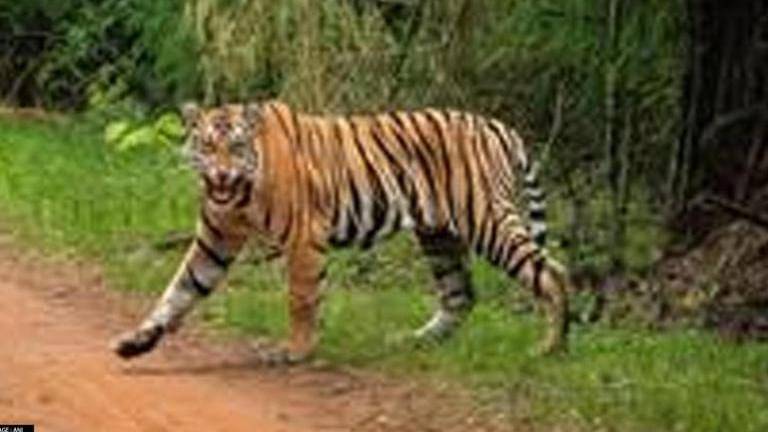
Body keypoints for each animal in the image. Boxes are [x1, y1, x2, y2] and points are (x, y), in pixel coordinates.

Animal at [111, 100, 571, 363]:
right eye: (207, 146)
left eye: (237, 148)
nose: (221, 174)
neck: (239, 195)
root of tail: (499, 126)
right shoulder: (215, 239)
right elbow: (179, 289)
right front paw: (137, 341)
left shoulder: (304, 237)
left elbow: (300, 298)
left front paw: (295, 351)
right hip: (439, 234)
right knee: (460, 295)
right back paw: (415, 341)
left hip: (486, 219)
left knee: (552, 272)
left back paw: (551, 347)